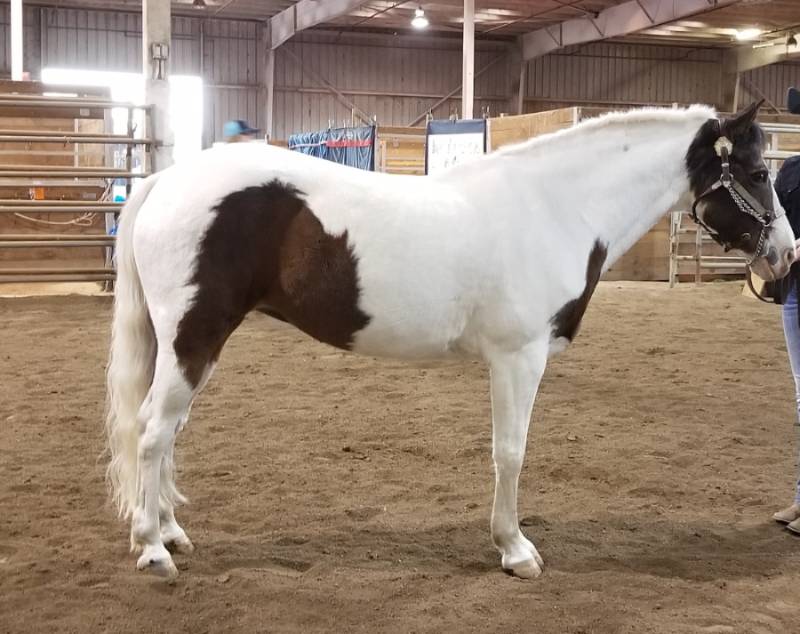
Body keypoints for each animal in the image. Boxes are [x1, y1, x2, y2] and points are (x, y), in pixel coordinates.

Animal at [105, 101, 795, 580]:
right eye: (759, 171)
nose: (786, 255)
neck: (556, 207)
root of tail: (167, 181)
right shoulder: (518, 359)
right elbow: (510, 453)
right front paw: (515, 549)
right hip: (194, 337)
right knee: (152, 432)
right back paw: (152, 549)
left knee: (166, 434)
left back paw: (170, 531)